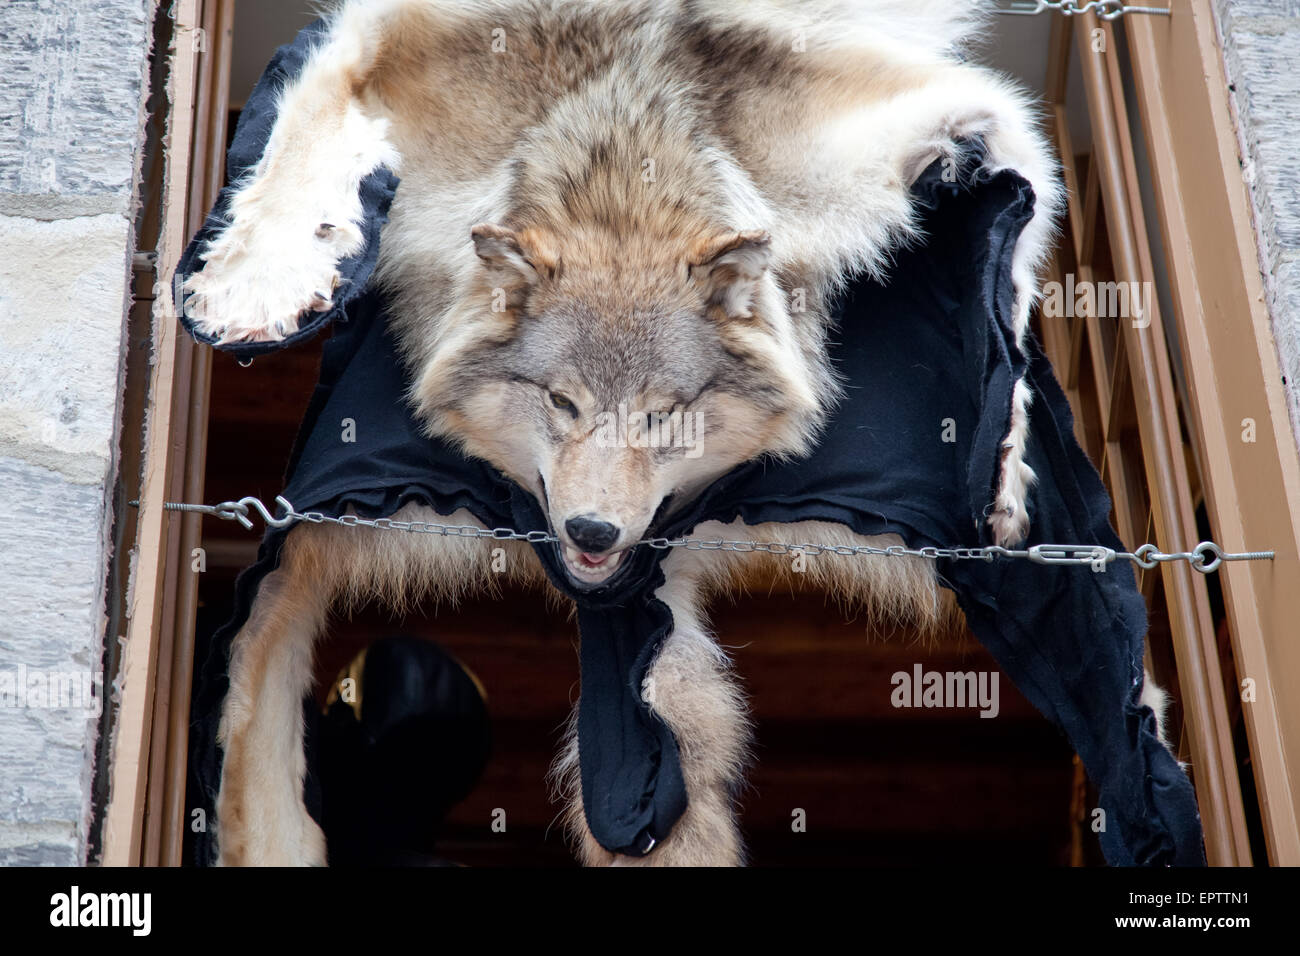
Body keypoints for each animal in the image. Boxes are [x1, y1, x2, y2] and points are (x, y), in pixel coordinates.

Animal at [182, 0, 1164, 866]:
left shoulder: (918, 116)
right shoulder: (412, 50)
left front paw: (1003, 462)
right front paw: (256, 279)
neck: (622, 151)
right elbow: (317, 97)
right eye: (563, 404)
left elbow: (1015, 221)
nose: (592, 532)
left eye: (664, 414)